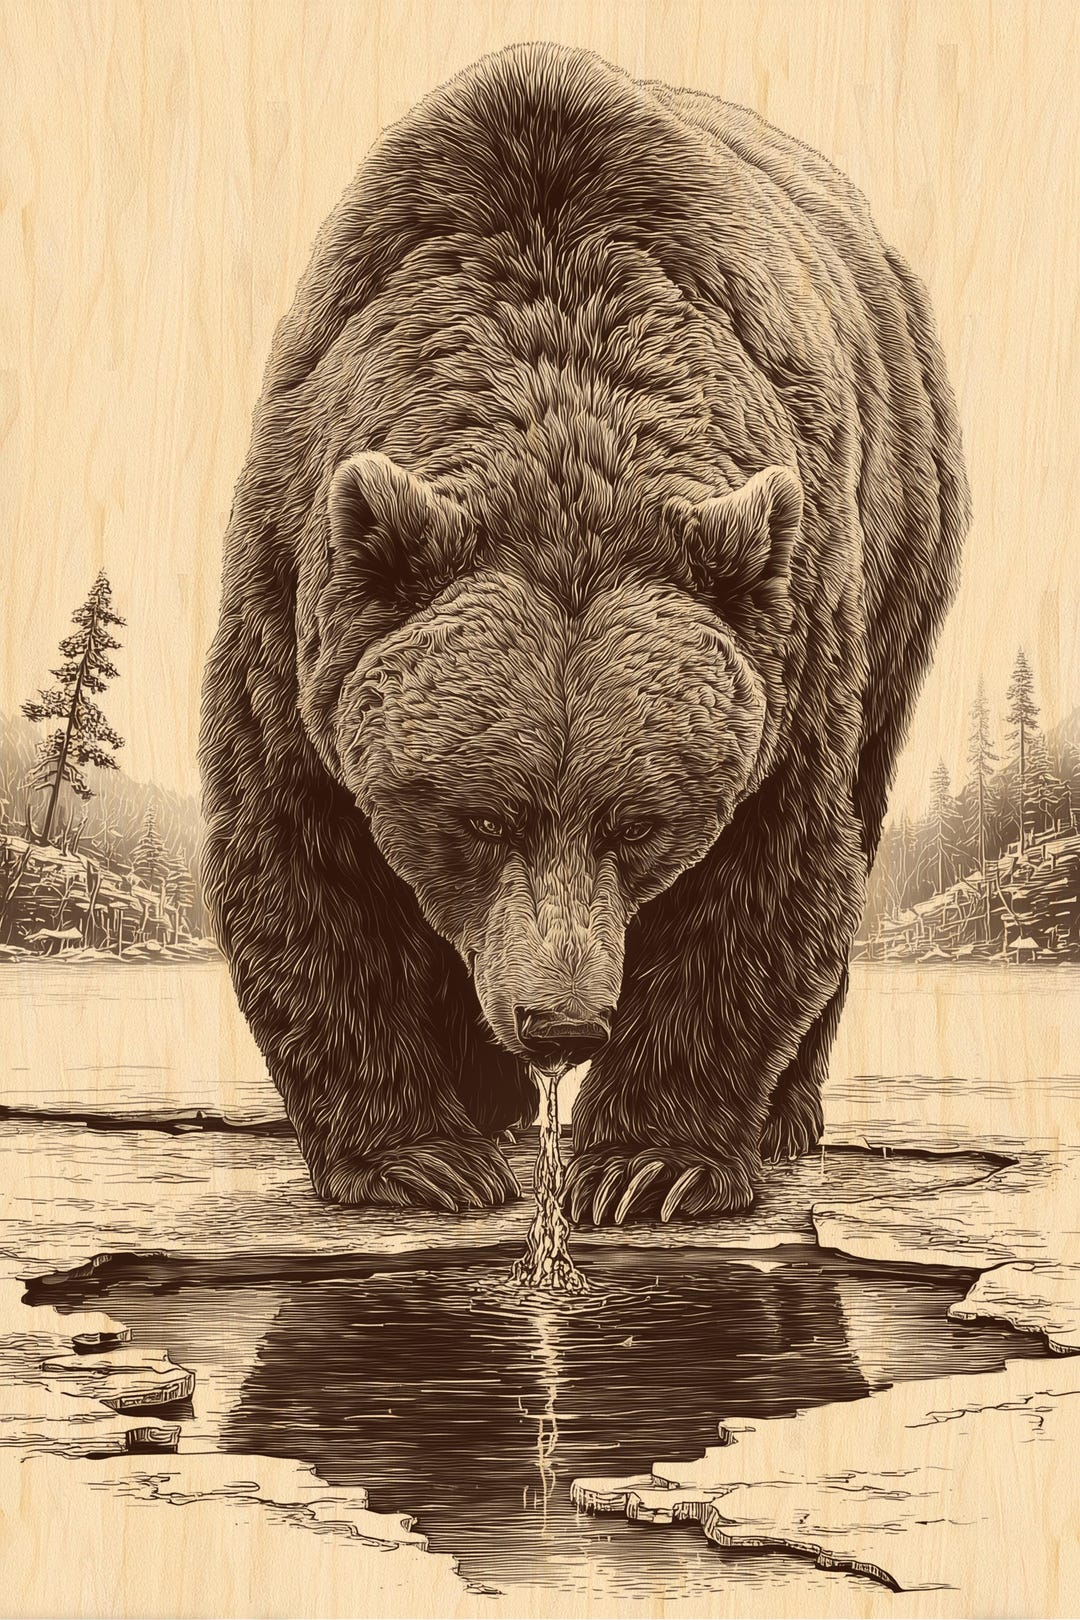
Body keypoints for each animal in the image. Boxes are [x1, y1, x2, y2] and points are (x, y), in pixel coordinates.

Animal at [199, 43, 969, 1224]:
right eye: (477, 816)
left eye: (639, 820)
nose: (561, 1023)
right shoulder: (294, 588)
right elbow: (303, 854)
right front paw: (420, 1155)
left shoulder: (791, 624)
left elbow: (772, 867)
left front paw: (651, 1162)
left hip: (907, 544)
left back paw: (785, 1114)